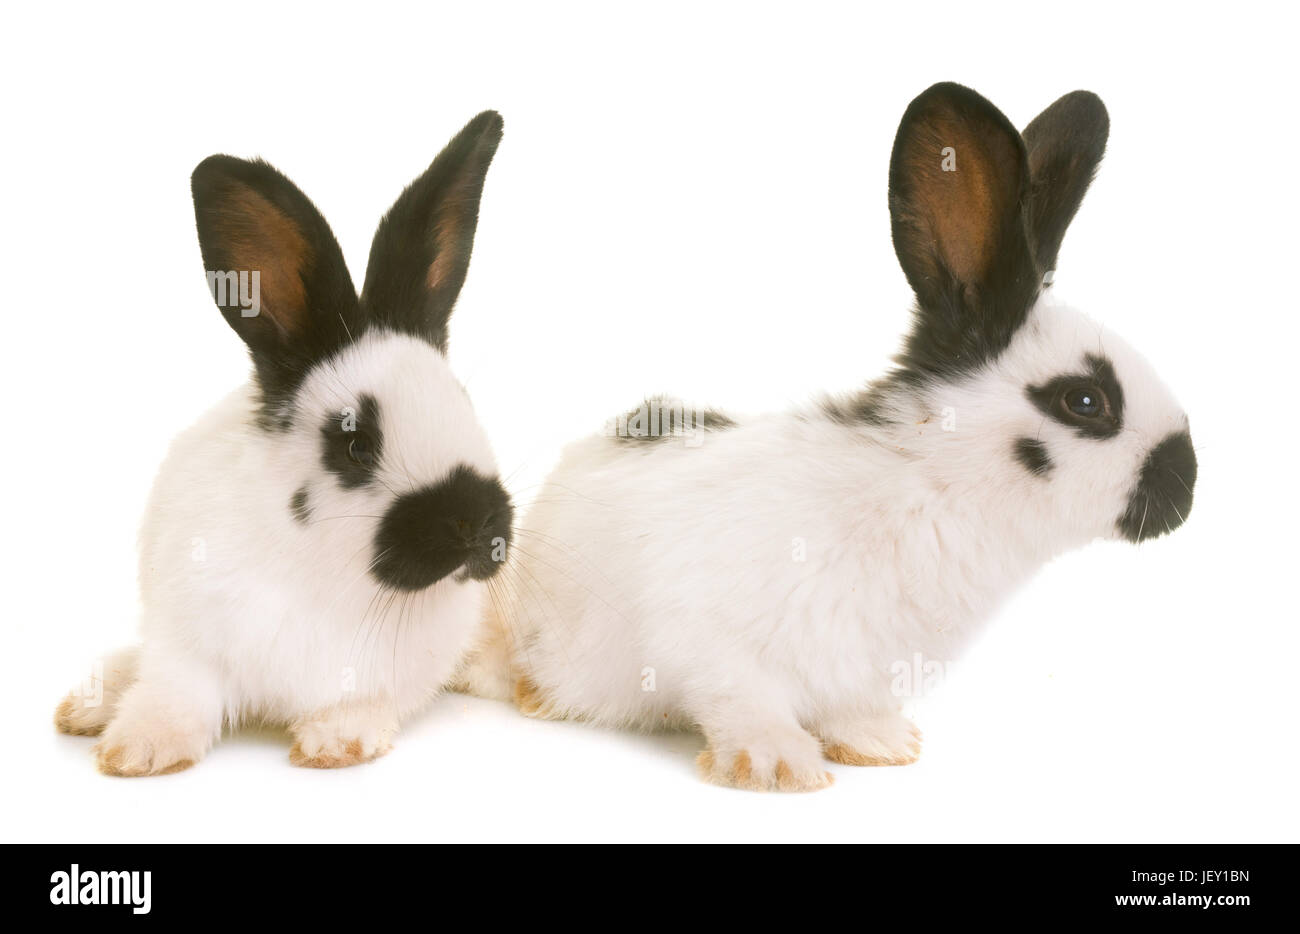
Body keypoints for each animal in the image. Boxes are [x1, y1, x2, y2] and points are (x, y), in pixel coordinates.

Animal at [54, 110, 514, 774]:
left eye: (464, 403)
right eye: (355, 443)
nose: (476, 524)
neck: (327, 571)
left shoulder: (391, 677)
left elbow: (361, 704)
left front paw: (337, 744)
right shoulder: (188, 641)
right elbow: (175, 690)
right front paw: (139, 749)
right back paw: (88, 703)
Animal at [459, 84, 1197, 791]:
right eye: (1086, 400)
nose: (1186, 488)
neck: (934, 483)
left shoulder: (856, 672)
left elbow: (849, 709)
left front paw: (882, 746)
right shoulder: (712, 638)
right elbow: (739, 699)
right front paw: (778, 768)